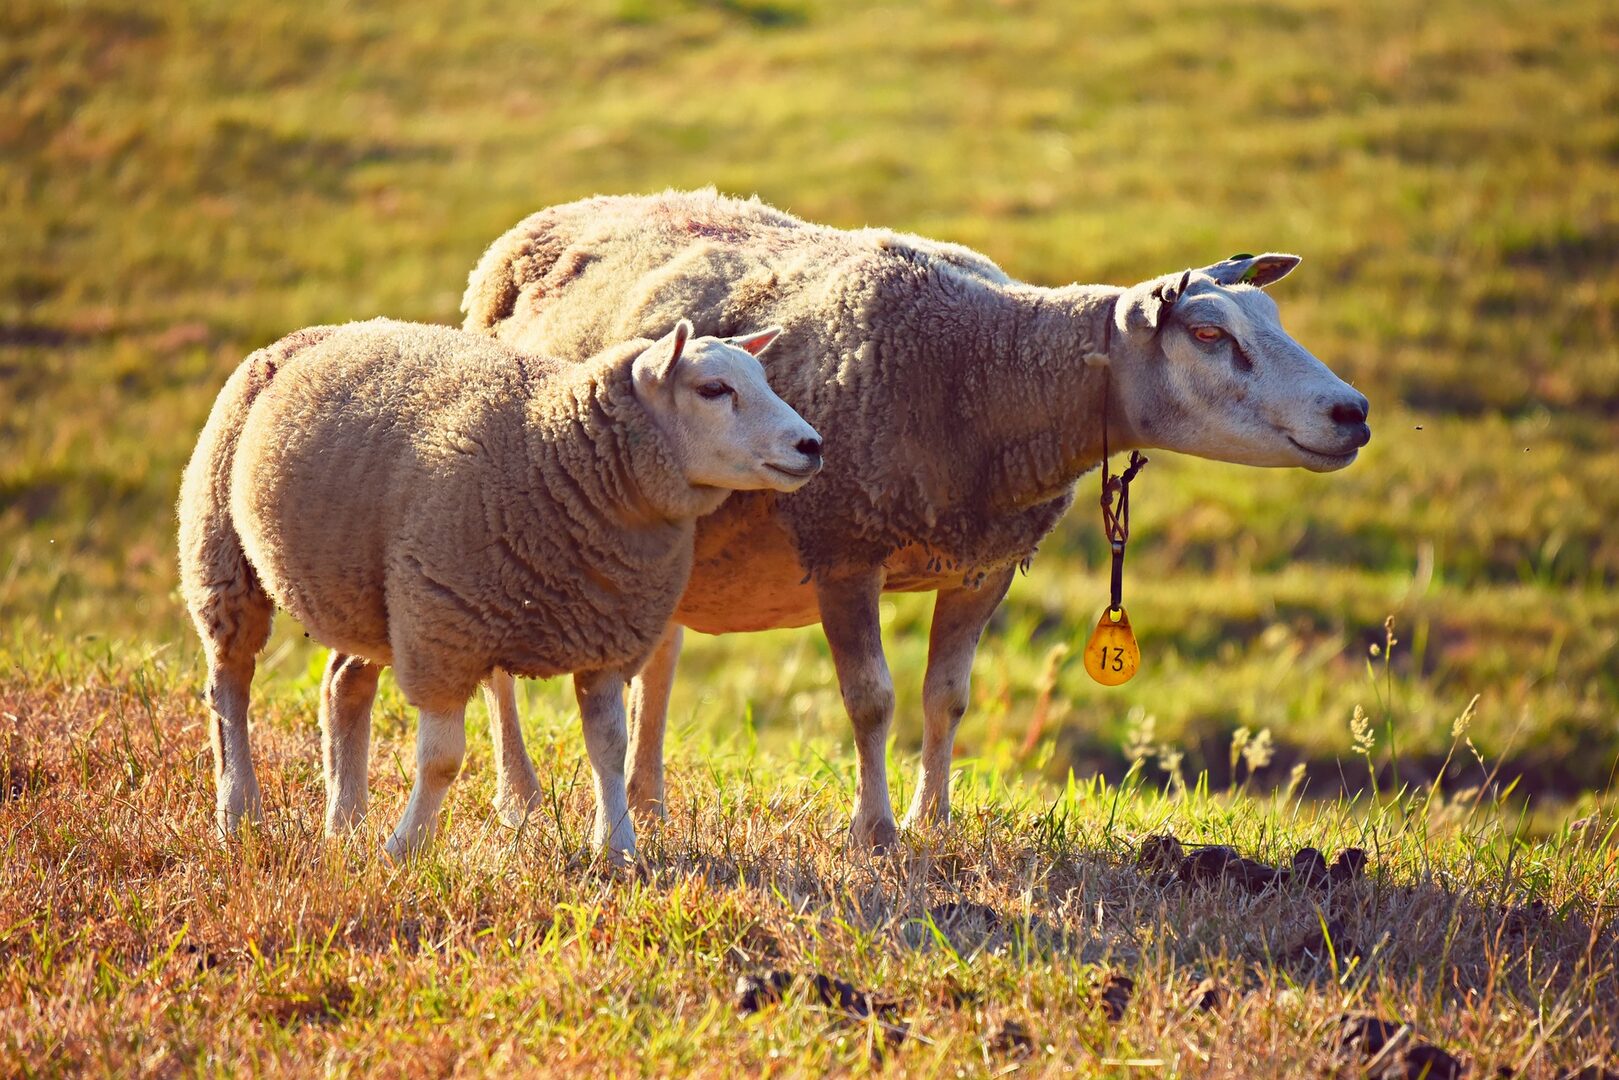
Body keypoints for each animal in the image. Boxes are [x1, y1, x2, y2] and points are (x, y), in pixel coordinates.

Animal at [178, 314, 828, 861]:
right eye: (713, 389)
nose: (812, 446)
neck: (555, 451)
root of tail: (308, 334)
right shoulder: (444, 629)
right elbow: (443, 761)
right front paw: (405, 850)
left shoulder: (607, 636)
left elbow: (609, 748)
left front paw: (618, 850)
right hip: (221, 554)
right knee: (229, 687)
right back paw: (239, 814)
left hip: (366, 595)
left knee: (343, 686)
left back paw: (346, 825)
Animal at [453, 191, 1366, 854]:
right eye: (1209, 333)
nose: (1351, 412)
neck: (987, 372)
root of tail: (547, 218)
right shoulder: (842, 545)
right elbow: (871, 702)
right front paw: (875, 830)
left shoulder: (981, 564)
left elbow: (945, 700)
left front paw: (935, 818)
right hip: (506, 507)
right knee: (500, 670)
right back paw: (519, 797)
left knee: (661, 661)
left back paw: (648, 800)